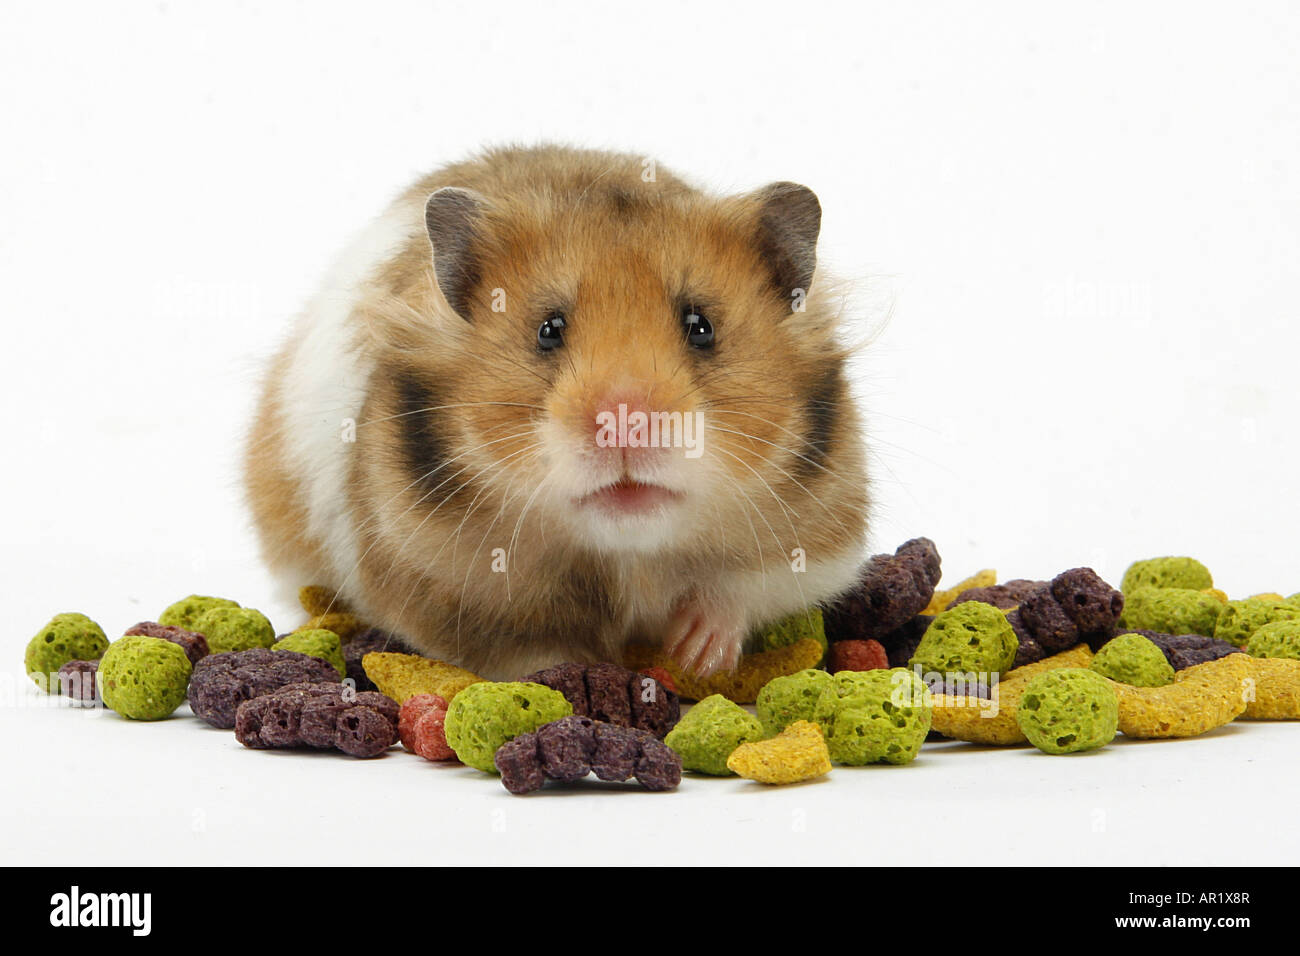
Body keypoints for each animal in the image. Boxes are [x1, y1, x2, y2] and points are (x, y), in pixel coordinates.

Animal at [245, 145, 869, 681]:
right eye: (548, 329)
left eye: (701, 326)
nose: (625, 424)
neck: (623, 556)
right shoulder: (428, 577)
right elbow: (526, 650)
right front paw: (586, 677)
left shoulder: (822, 532)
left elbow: (741, 589)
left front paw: (696, 654)